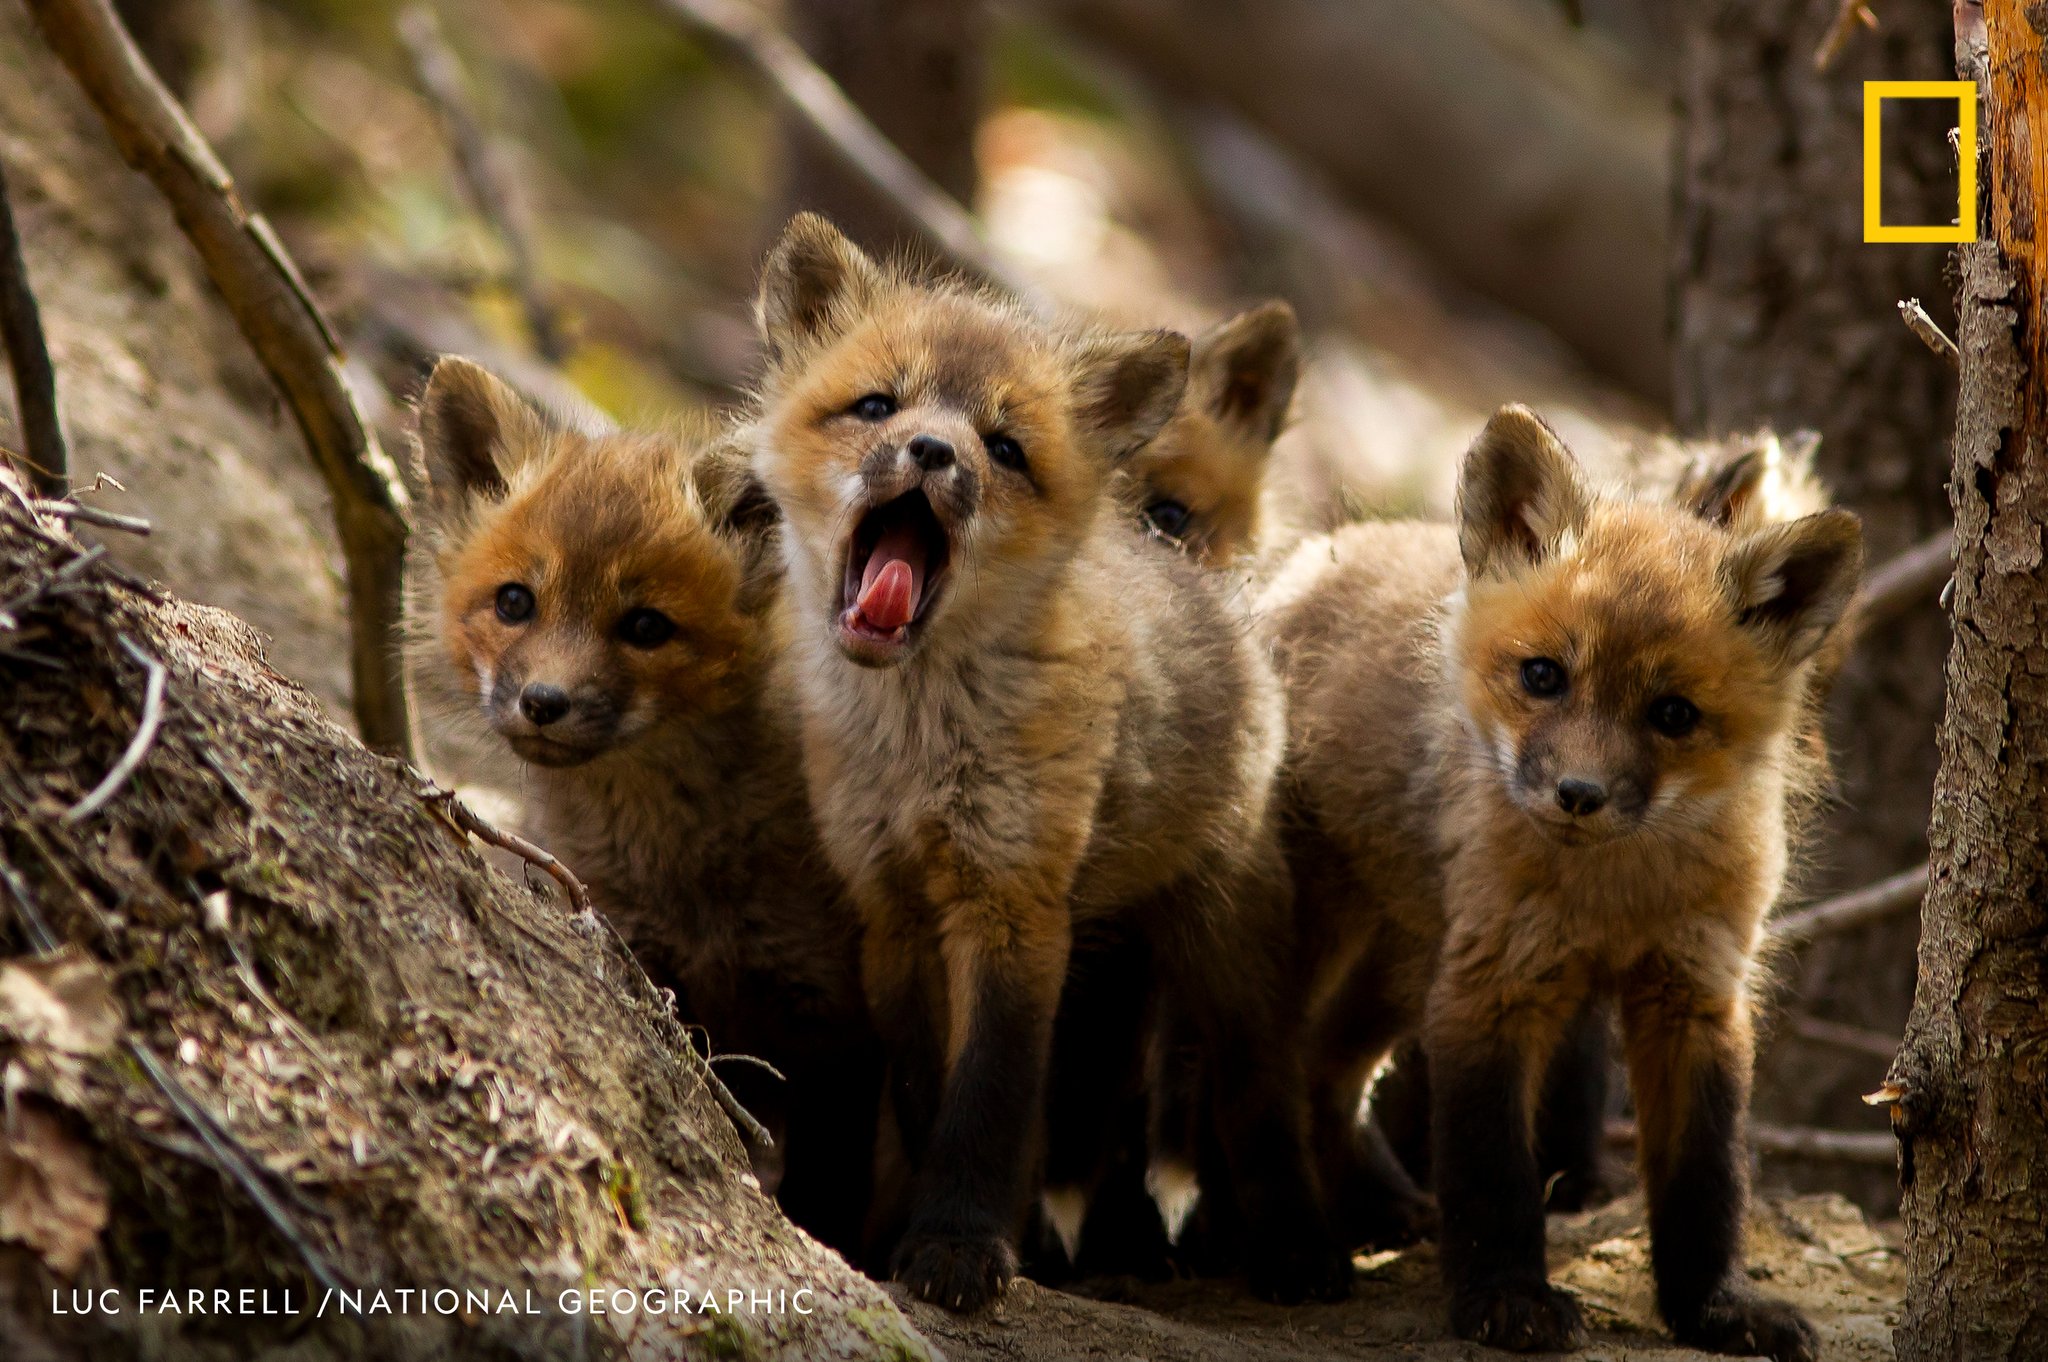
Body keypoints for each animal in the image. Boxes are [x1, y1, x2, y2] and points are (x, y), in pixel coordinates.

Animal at [403, 357, 882, 1256]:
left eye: (647, 625)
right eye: (515, 602)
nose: (544, 703)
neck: (680, 865)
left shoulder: (837, 1024)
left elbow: (832, 1197)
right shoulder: (648, 964)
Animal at [743, 213, 1347, 1311]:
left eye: (1005, 447)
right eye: (877, 405)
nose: (930, 450)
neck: (922, 746)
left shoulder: (1015, 901)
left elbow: (990, 1097)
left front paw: (960, 1246)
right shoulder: (892, 912)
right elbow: (929, 1091)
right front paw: (944, 1229)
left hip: (1222, 942)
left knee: (1258, 1089)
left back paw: (1290, 1245)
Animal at [1257, 405, 1860, 1361]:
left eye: (1674, 715)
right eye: (1543, 675)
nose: (1579, 794)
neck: (1611, 898)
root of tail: (1317, 555)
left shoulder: (1695, 993)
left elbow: (1707, 1176)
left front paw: (1715, 1306)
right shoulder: (1491, 986)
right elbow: (1495, 1171)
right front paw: (1508, 1301)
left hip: (1400, 961)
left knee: (1329, 1071)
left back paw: (1378, 1209)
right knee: (1258, 1071)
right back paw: (1292, 1248)